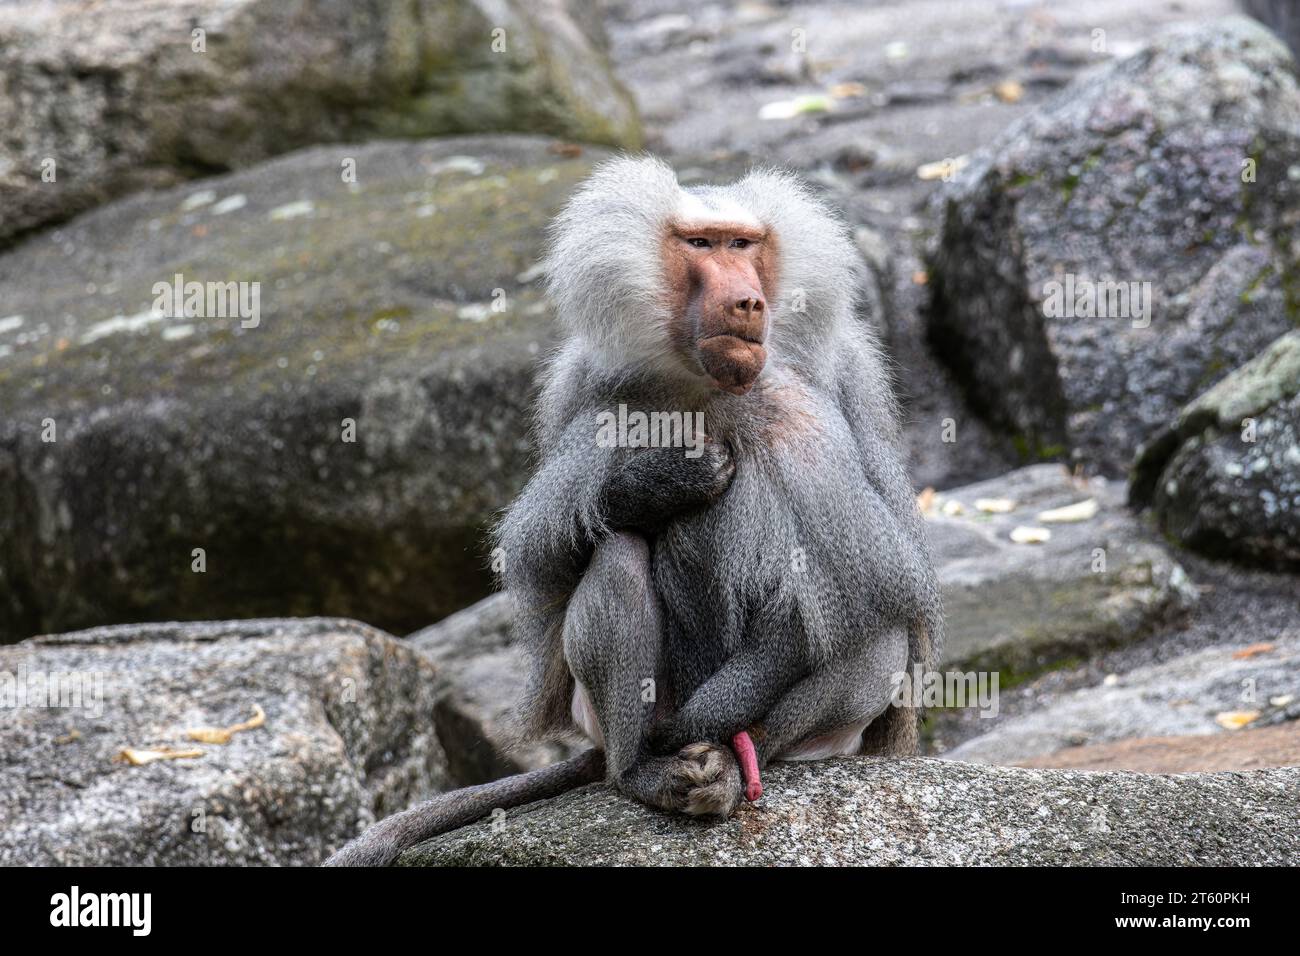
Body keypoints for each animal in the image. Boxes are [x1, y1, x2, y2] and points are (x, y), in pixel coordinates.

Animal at [325, 156, 943, 866]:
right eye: (701, 244)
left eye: (744, 244)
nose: (748, 301)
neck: (703, 383)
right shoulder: (581, 384)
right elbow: (543, 560)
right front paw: (660, 483)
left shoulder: (844, 376)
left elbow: (866, 586)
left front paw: (712, 713)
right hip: (599, 715)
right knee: (616, 557)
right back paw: (646, 771)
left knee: (872, 633)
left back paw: (728, 760)